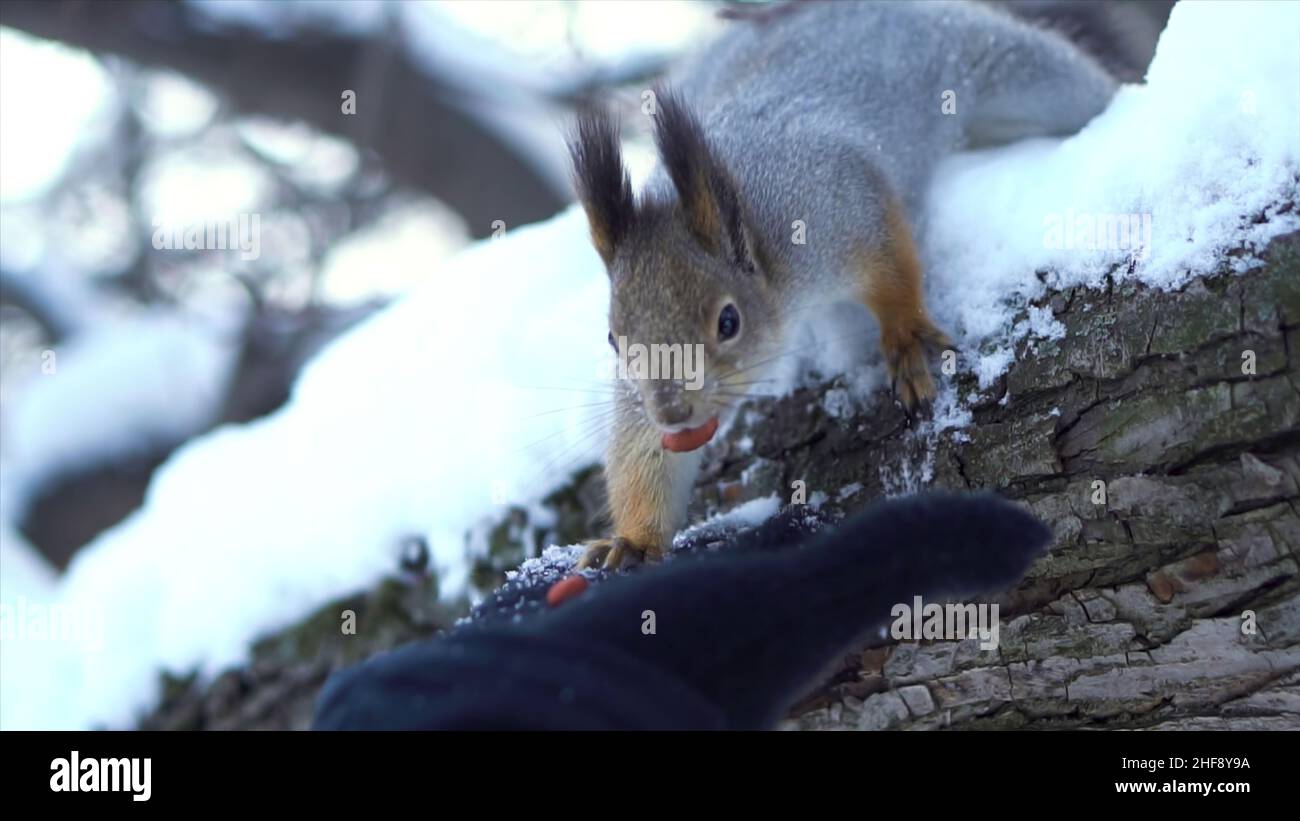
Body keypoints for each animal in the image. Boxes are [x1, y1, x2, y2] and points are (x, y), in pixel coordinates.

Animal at [568, 0, 1119, 569]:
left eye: (728, 321)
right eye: (613, 339)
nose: (674, 413)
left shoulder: (836, 204)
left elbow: (890, 266)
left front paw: (904, 337)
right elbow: (641, 449)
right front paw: (632, 542)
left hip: (1008, 64)